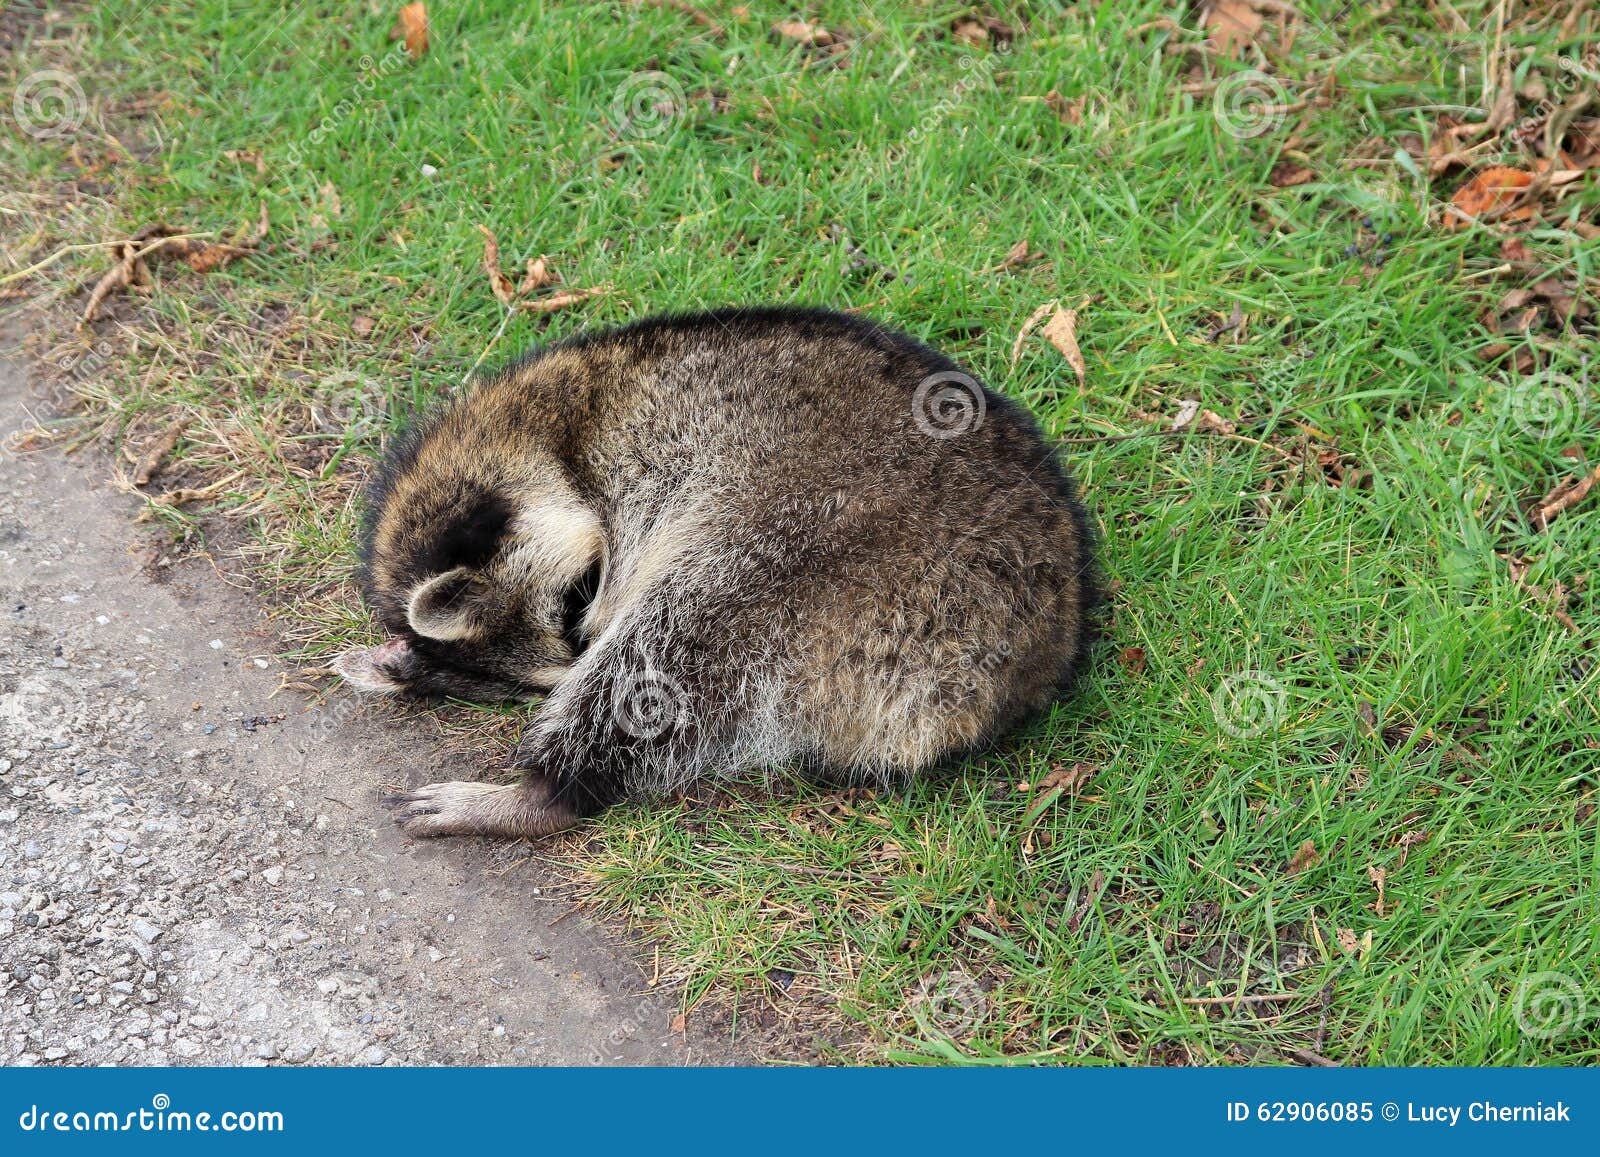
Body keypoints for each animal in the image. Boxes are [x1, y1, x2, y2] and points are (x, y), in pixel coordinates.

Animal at [337, 306, 1097, 838]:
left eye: (580, 599)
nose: (581, 654)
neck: (539, 436)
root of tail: (1039, 646)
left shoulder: (648, 447)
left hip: (831, 546)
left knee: (669, 652)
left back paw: (546, 796)